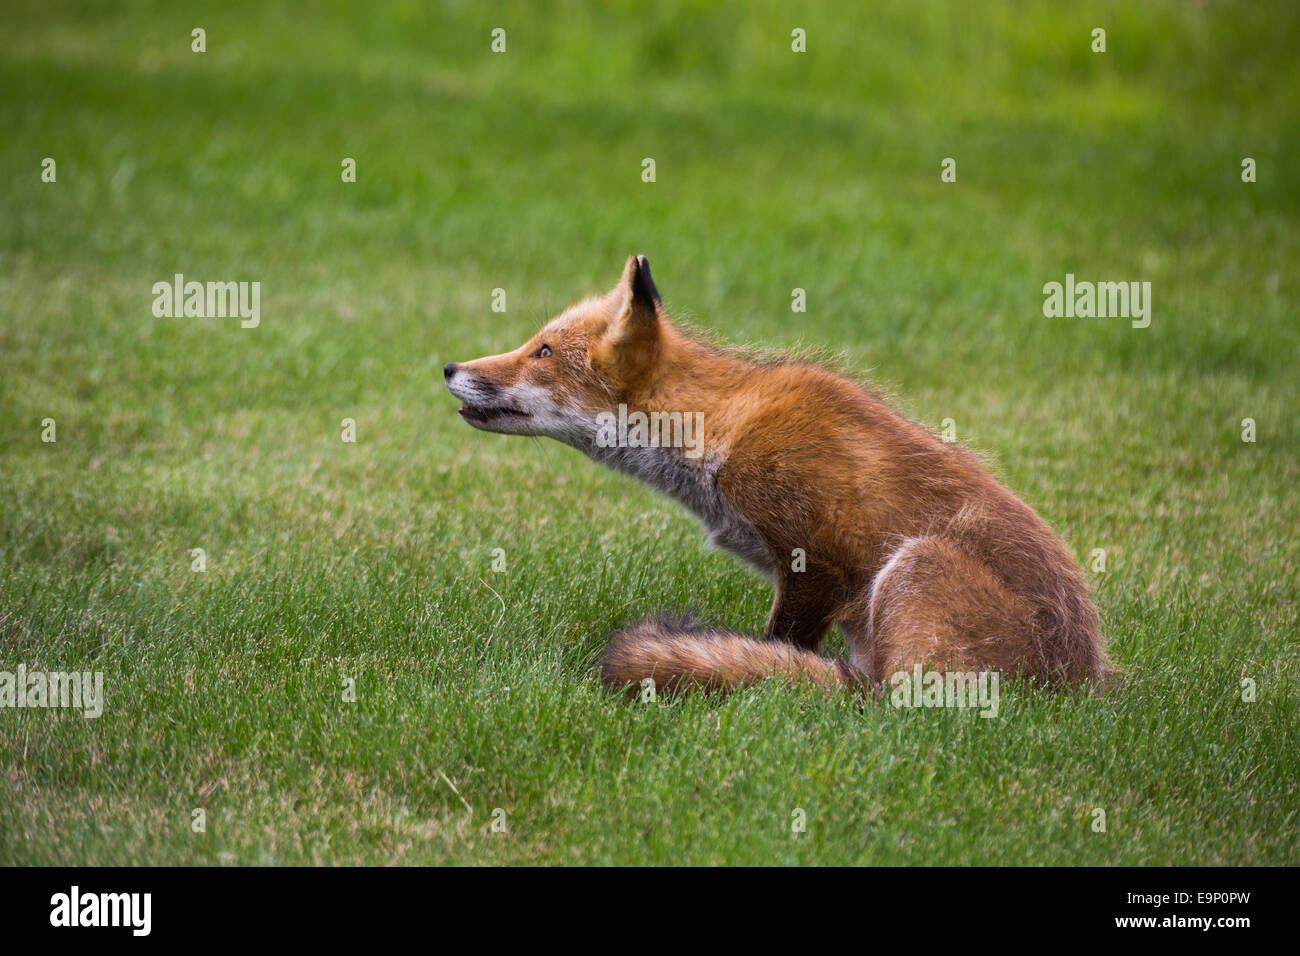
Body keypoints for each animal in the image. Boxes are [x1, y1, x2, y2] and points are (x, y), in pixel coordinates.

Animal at [444, 256, 1115, 697]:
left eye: (543, 352)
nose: (449, 367)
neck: (724, 426)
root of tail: (1082, 682)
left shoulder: (817, 563)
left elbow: (782, 643)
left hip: (915, 569)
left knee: (879, 698)